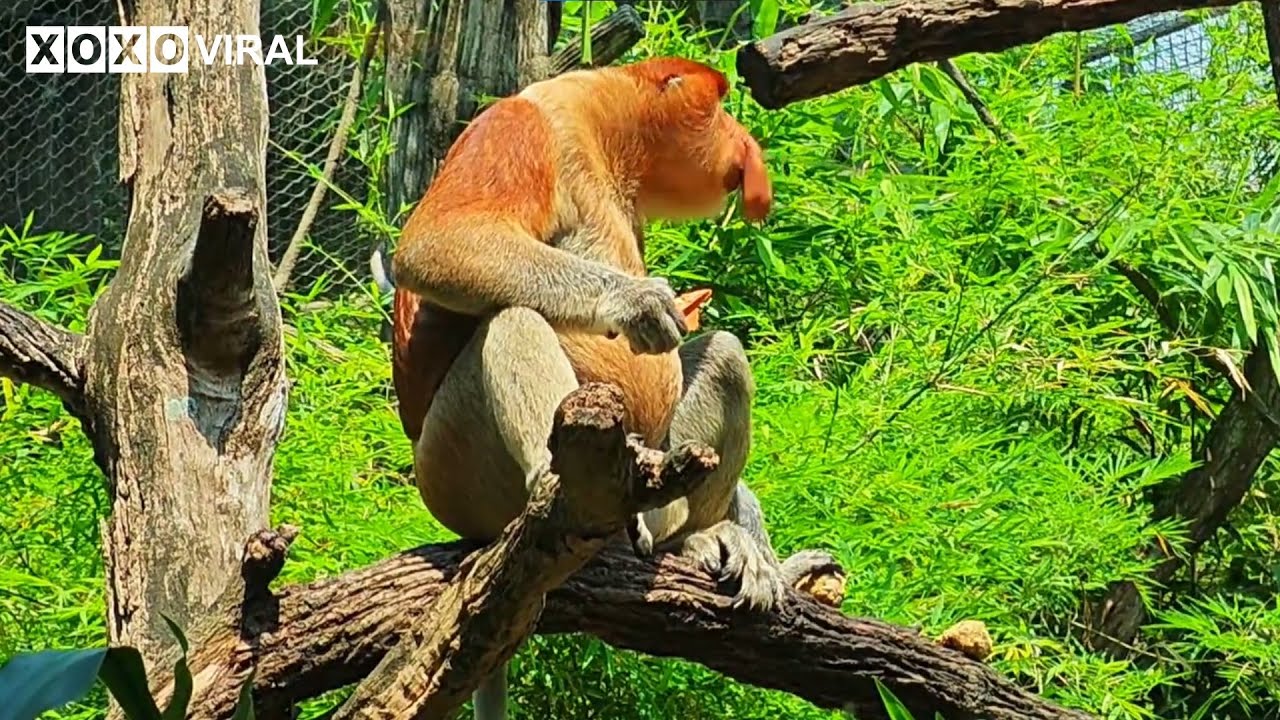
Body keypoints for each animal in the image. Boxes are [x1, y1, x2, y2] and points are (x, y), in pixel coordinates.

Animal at [389, 56, 840, 720]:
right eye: (718, 105)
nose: (745, 142)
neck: (602, 131)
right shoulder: (520, 129)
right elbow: (439, 242)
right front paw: (639, 301)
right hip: (454, 472)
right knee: (512, 320)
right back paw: (555, 495)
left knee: (725, 357)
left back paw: (696, 539)